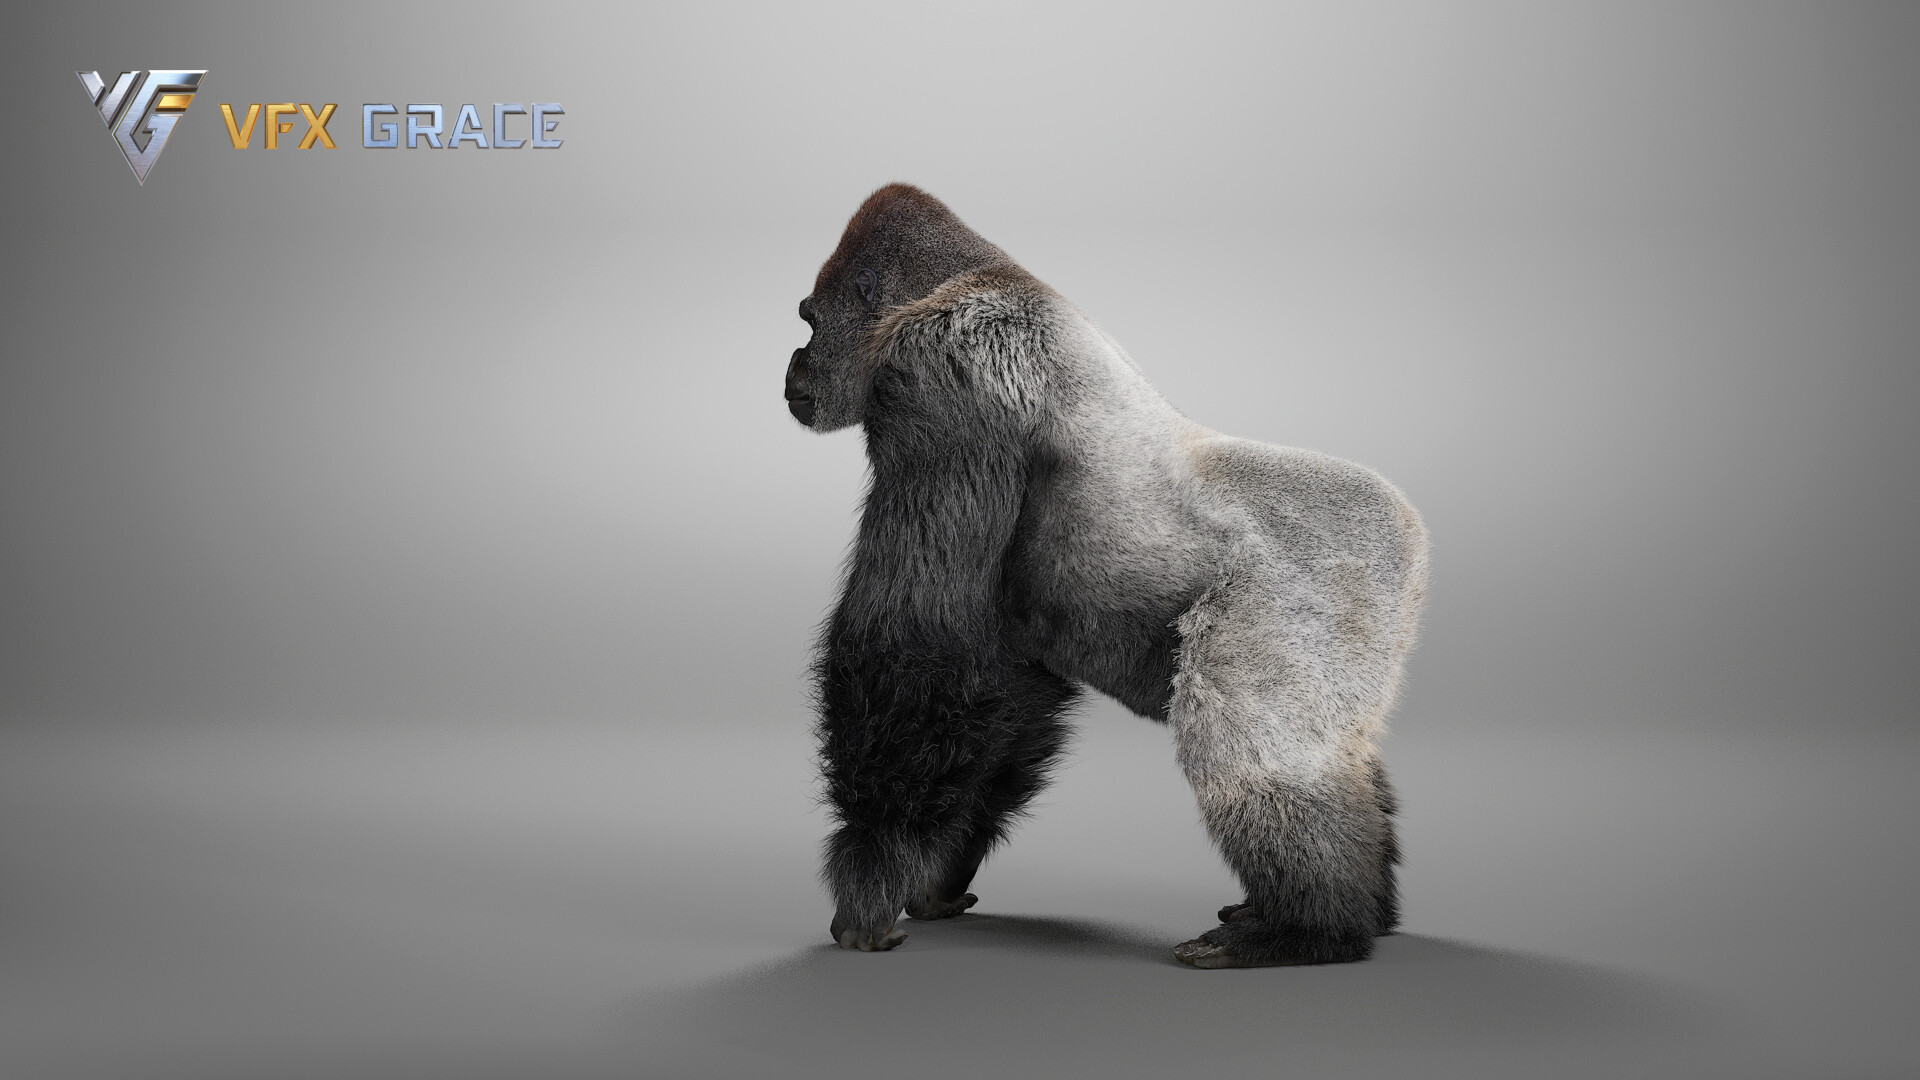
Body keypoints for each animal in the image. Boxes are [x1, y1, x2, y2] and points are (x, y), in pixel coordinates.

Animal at [785, 184, 1428, 967]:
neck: (968, 278)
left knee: (1247, 733)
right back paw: (1354, 910)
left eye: (810, 320)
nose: (794, 364)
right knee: (1334, 746)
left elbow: (919, 641)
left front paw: (872, 874)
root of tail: (1411, 537)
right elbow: (1006, 683)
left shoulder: (939, 377)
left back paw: (1305, 929)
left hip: (1335, 575)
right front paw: (938, 867)